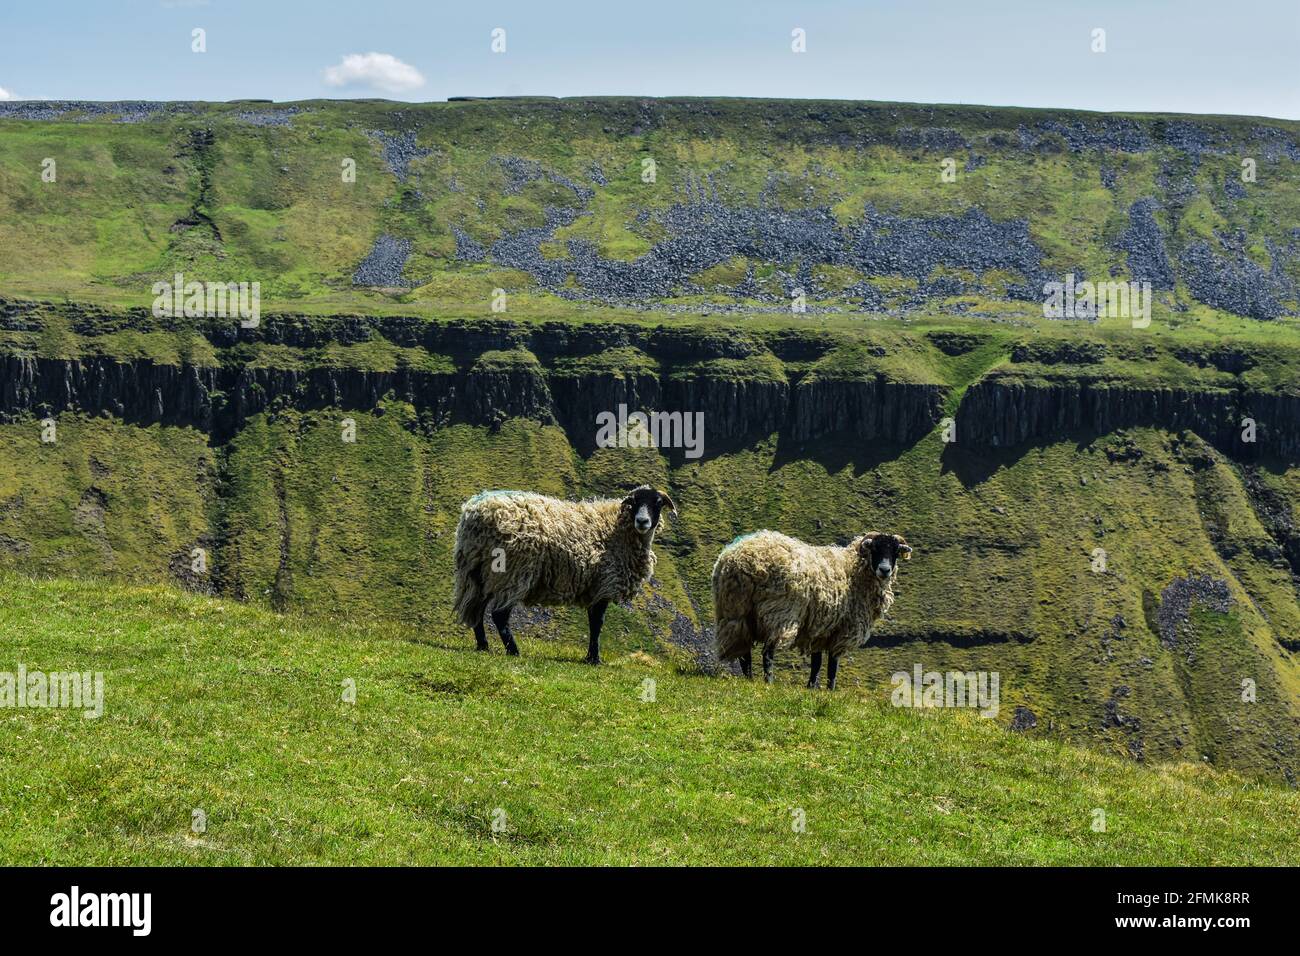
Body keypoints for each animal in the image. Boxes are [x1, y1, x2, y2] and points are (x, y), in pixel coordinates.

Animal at [451, 485, 676, 663]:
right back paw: (513, 651)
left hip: (477, 573)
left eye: (657, 502)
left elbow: (593, 623)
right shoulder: (604, 584)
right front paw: (594, 659)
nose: (642, 521)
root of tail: (474, 513)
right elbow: (597, 624)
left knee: (476, 610)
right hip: (512, 572)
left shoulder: (594, 587)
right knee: (499, 615)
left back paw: (483, 646)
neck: (619, 529)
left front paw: (590, 657)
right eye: (635, 501)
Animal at [712, 530, 912, 689]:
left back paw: (749, 680)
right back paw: (769, 681)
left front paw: (811, 687)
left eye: (895, 551)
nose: (885, 570)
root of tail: (742, 559)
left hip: (734, 611)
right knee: (768, 651)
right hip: (780, 611)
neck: (855, 570)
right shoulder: (842, 629)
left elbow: (816, 662)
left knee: (744, 650)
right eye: (875, 549)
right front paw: (830, 689)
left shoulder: (819, 629)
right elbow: (832, 664)